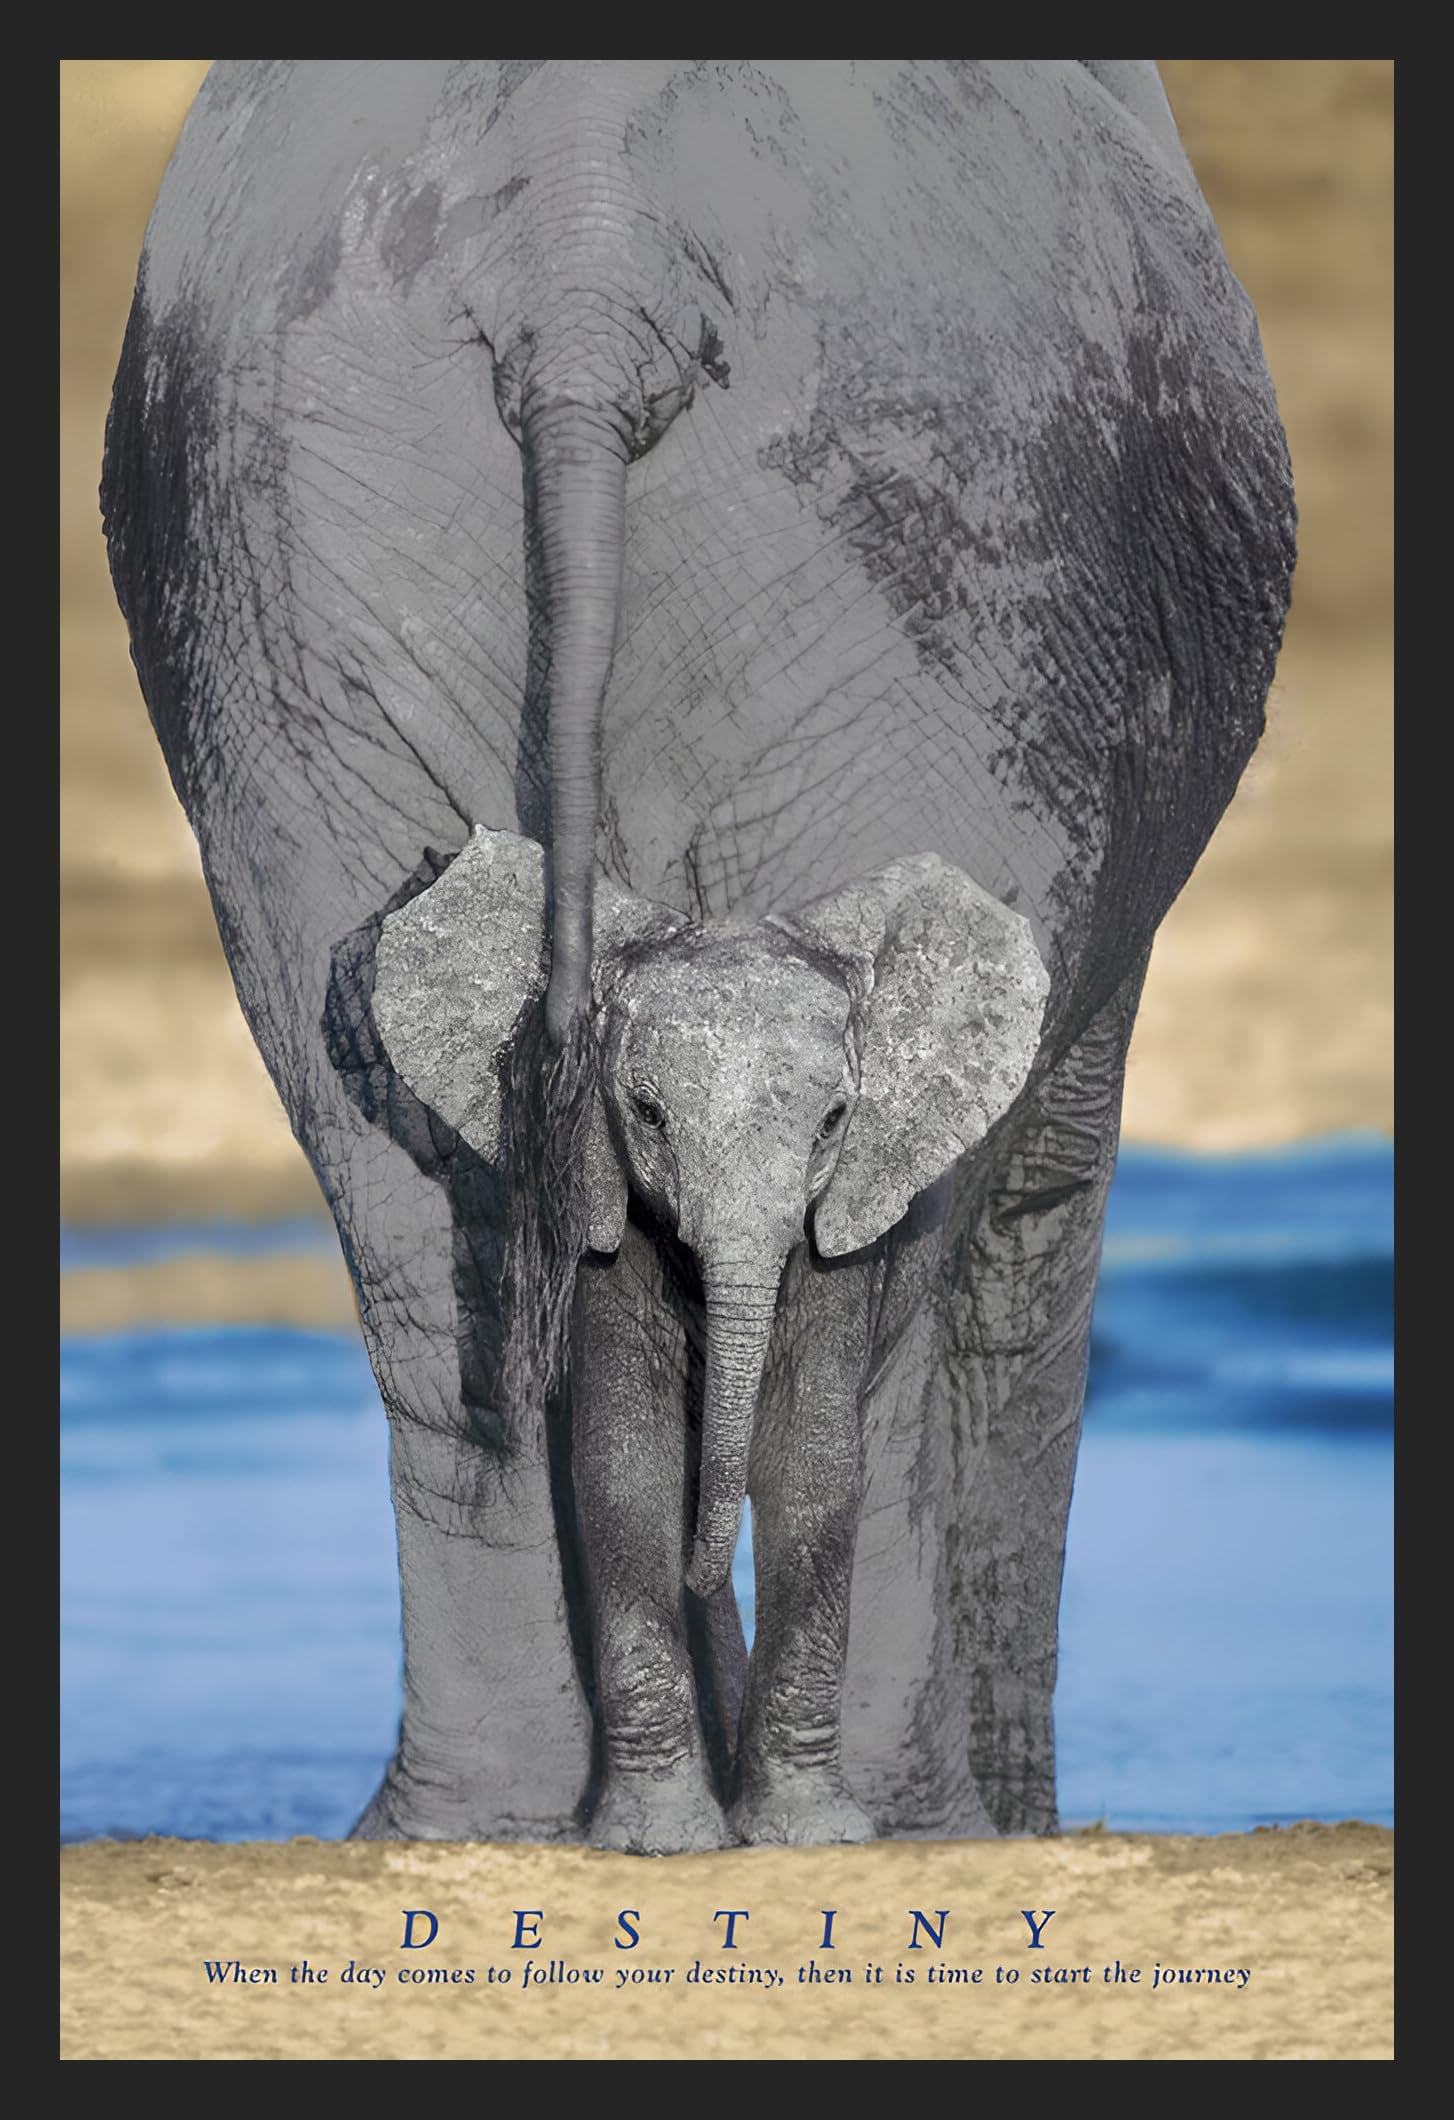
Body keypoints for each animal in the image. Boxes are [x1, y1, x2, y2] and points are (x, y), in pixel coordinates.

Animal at [101, 60, 1295, 1851]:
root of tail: (585, 268)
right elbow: (1016, 1208)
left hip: (279, 587)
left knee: (416, 1245)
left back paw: (480, 1823)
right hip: (947, 577)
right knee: (880, 1301)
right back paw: (898, 1822)